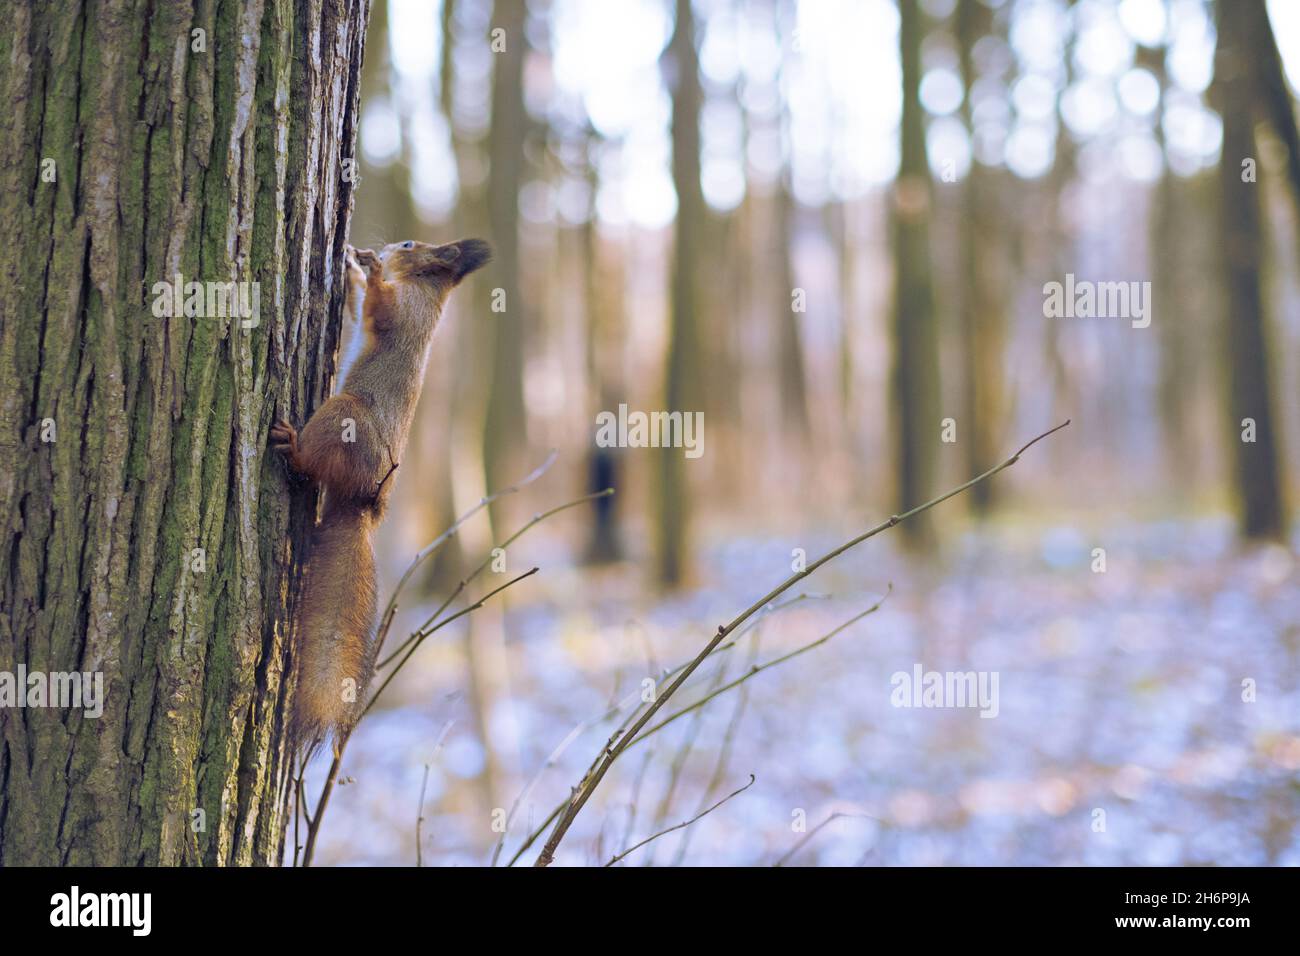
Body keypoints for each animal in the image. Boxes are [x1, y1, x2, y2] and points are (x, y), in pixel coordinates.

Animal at [271, 237, 491, 750]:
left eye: (410, 245)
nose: (387, 247)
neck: (427, 290)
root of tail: (366, 503)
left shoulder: (404, 313)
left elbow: (379, 310)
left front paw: (369, 272)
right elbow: (357, 309)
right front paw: (352, 268)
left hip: (343, 414)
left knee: (310, 461)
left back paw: (293, 446)